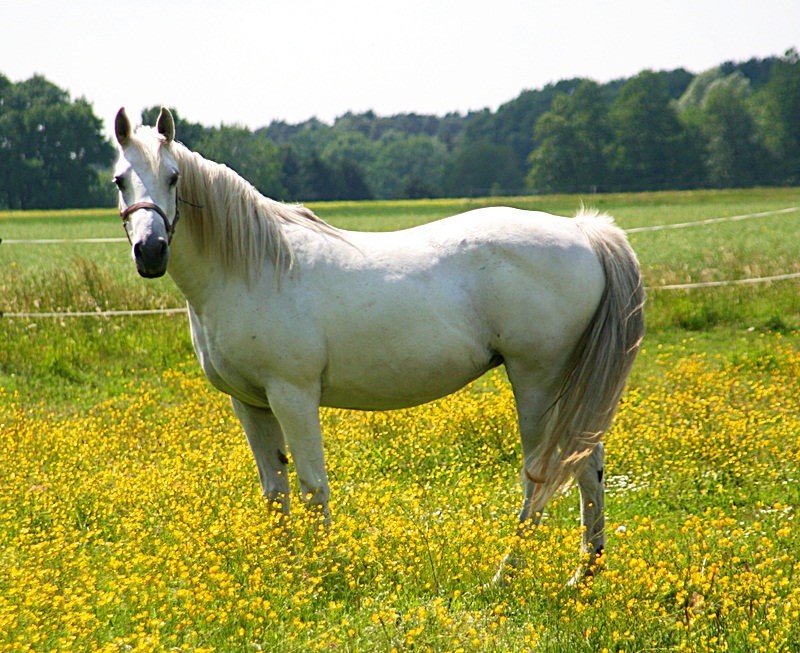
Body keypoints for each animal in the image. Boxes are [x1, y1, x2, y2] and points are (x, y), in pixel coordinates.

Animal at [112, 107, 645, 580]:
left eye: (175, 178)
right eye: (120, 180)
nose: (151, 251)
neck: (254, 266)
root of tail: (581, 231)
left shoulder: (292, 395)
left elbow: (312, 486)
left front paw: (323, 573)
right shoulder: (250, 403)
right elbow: (275, 492)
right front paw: (286, 573)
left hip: (538, 382)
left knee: (541, 473)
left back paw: (506, 576)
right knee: (588, 465)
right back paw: (585, 574)